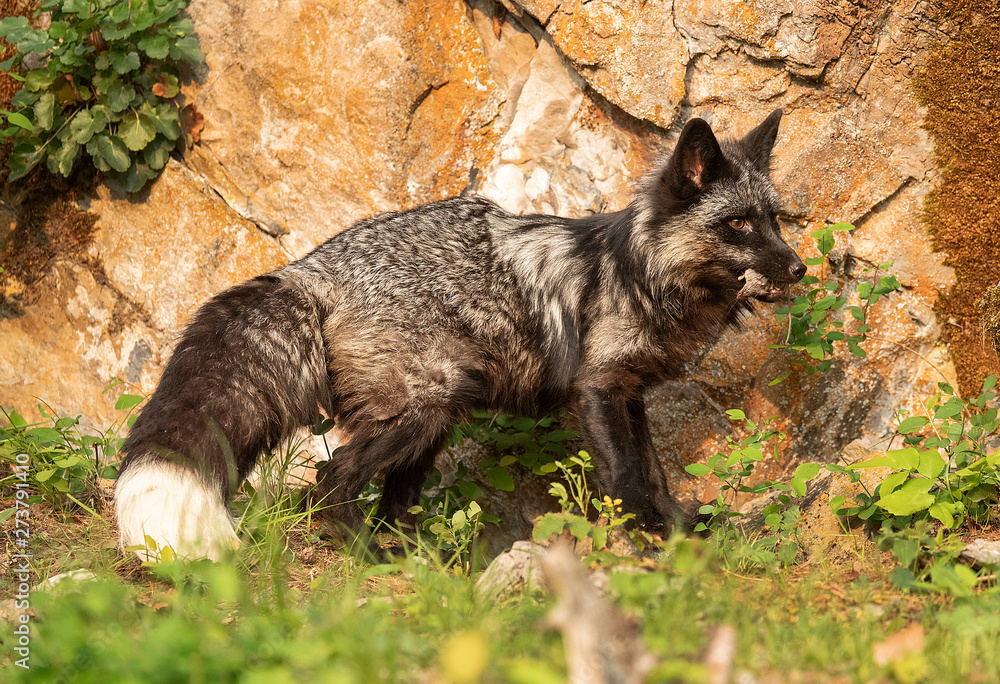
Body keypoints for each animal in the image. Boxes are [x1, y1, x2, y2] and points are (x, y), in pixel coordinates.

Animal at [114, 109, 806, 560]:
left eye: (774, 220)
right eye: (738, 224)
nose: (799, 268)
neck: (641, 273)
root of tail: (307, 270)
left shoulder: (629, 395)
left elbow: (655, 475)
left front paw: (678, 533)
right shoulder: (597, 391)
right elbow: (626, 478)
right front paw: (645, 545)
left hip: (437, 417)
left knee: (390, 501)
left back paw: (423, 564)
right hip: (427, 406)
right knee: (331, 479)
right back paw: (368, 557)